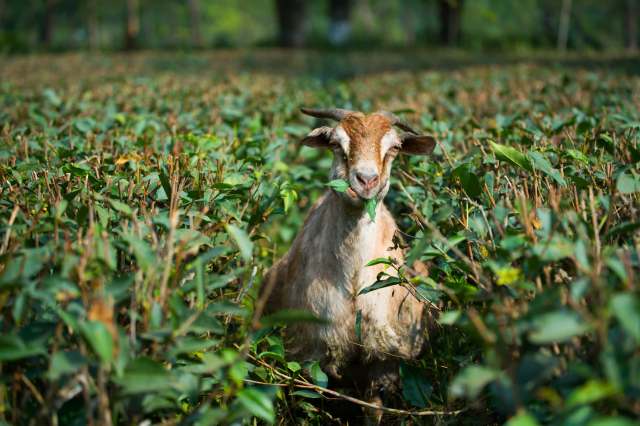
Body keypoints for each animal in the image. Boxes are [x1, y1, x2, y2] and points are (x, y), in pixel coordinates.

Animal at [262, 107, 436, 402]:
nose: (366, 180)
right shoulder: (312, 356)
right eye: (335, 143)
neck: (354, 281)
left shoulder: (383, 359)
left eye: (394, 148)